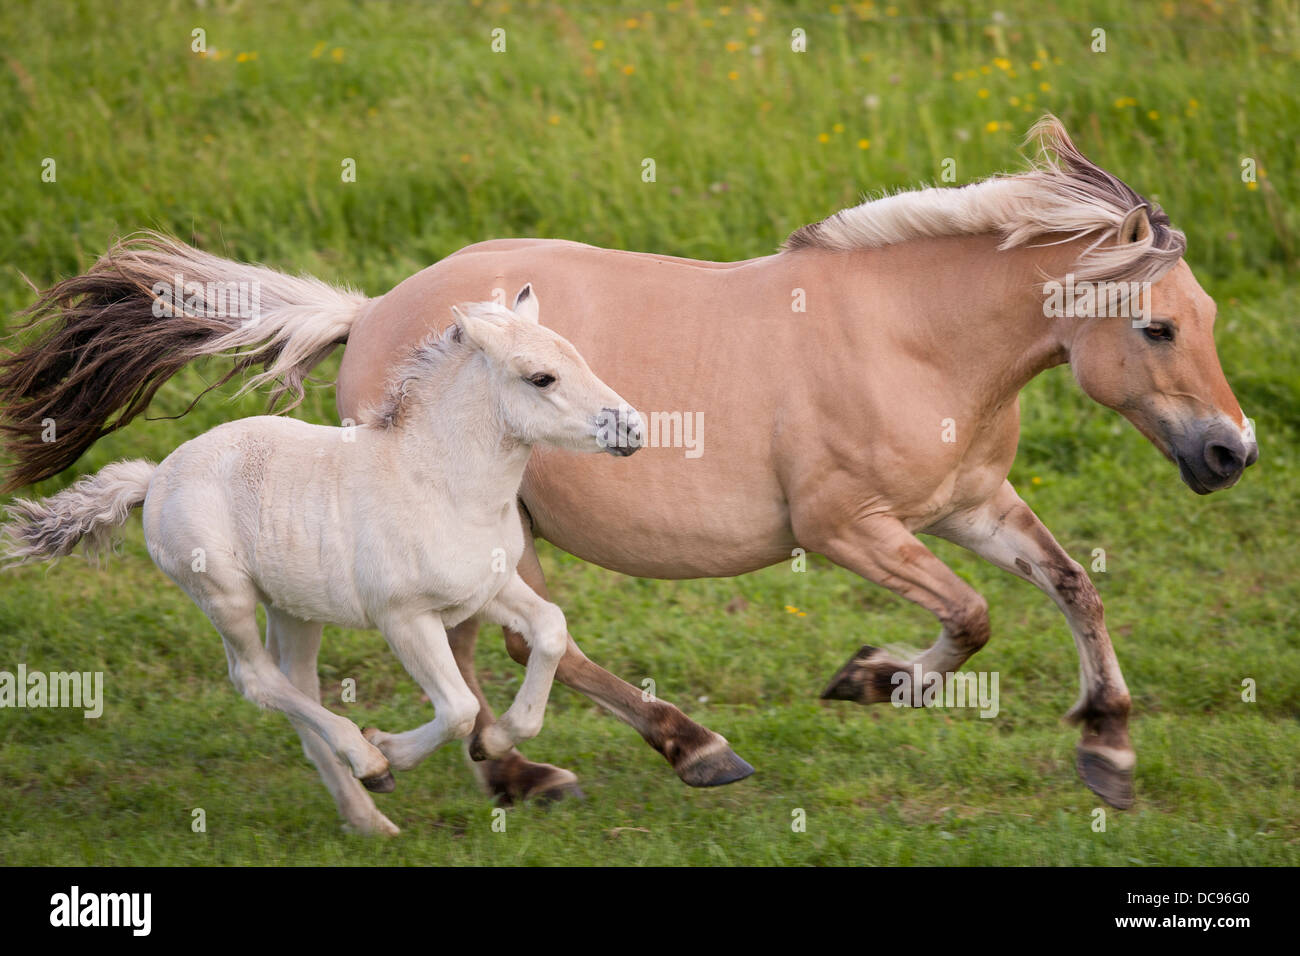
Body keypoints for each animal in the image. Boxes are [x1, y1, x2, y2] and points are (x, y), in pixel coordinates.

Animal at [1, 290, 646, 834]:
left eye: (580, 358)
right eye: (542, 377)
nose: (633, 428)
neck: (441, 485)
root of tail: (154, 477)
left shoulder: (488, 588)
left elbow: (551, 631)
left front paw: (496, 742)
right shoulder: (404, 618)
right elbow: (460, 706)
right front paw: (395, 748)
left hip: (295, 608)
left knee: (296, 684)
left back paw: (369, 819)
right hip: (224, 595)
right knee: (256, 678)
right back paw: (370, 762)